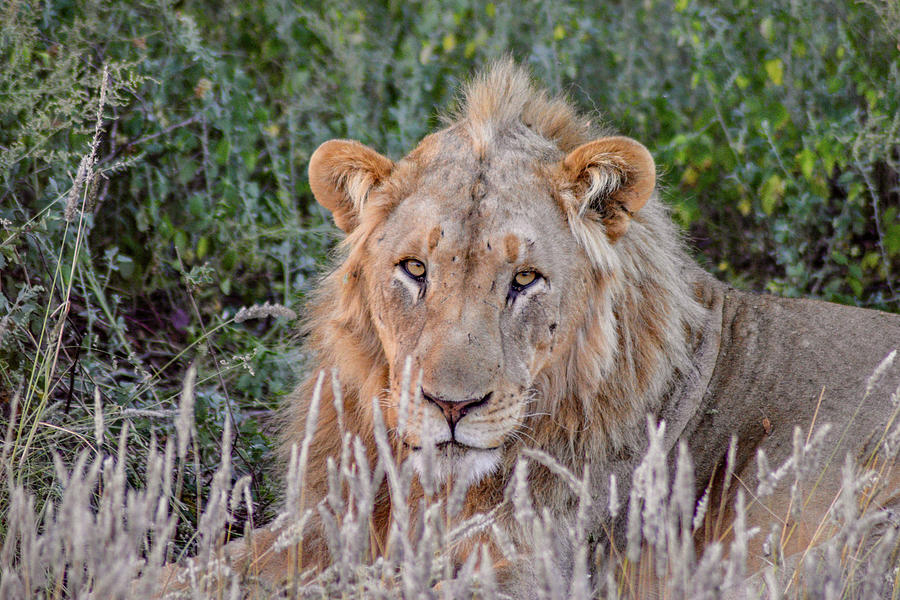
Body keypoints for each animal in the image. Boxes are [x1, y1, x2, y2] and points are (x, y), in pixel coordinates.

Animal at [167, 60, 900, 595]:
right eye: (414, 269)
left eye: (524, 279)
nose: (451, 406)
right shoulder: (325, 521)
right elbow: (202, 567)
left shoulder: (534, 570)